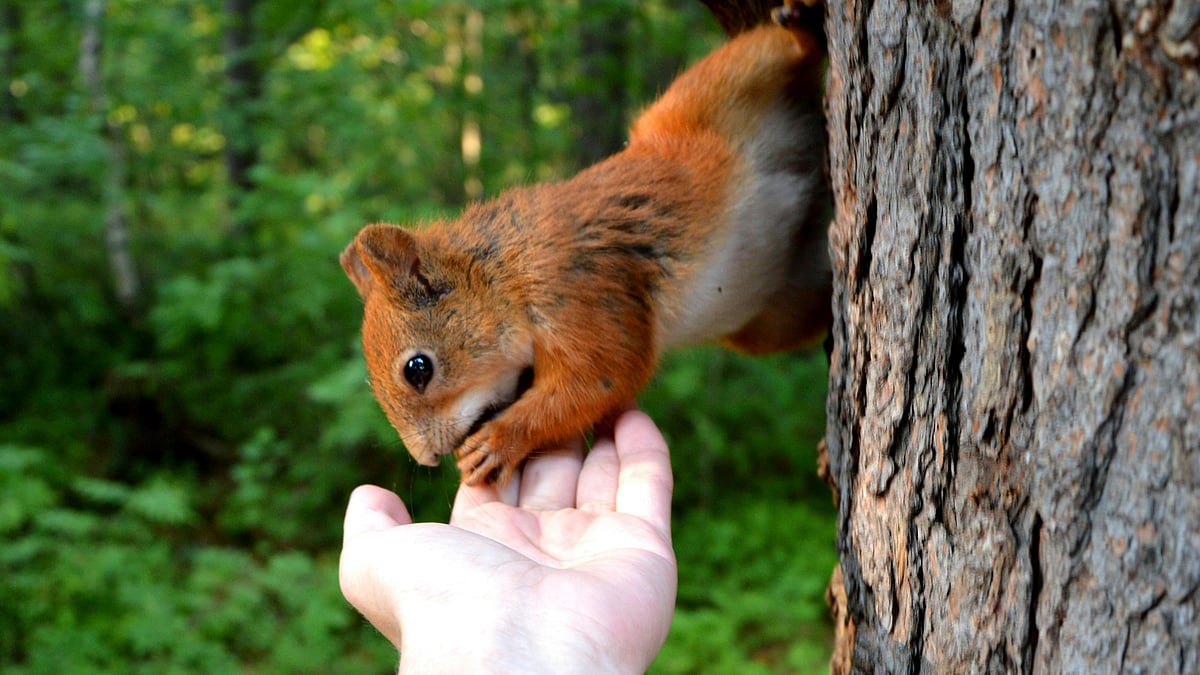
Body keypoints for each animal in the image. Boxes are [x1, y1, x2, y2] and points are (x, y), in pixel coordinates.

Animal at [341, 1, 830, 486]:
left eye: (418, 369)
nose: (426, 459)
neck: (506, 271)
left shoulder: (578, 290)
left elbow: (601, 377)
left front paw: (499, 440)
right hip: (771, 318)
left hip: (716, 86)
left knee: (779, 51)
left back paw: (800, 26)